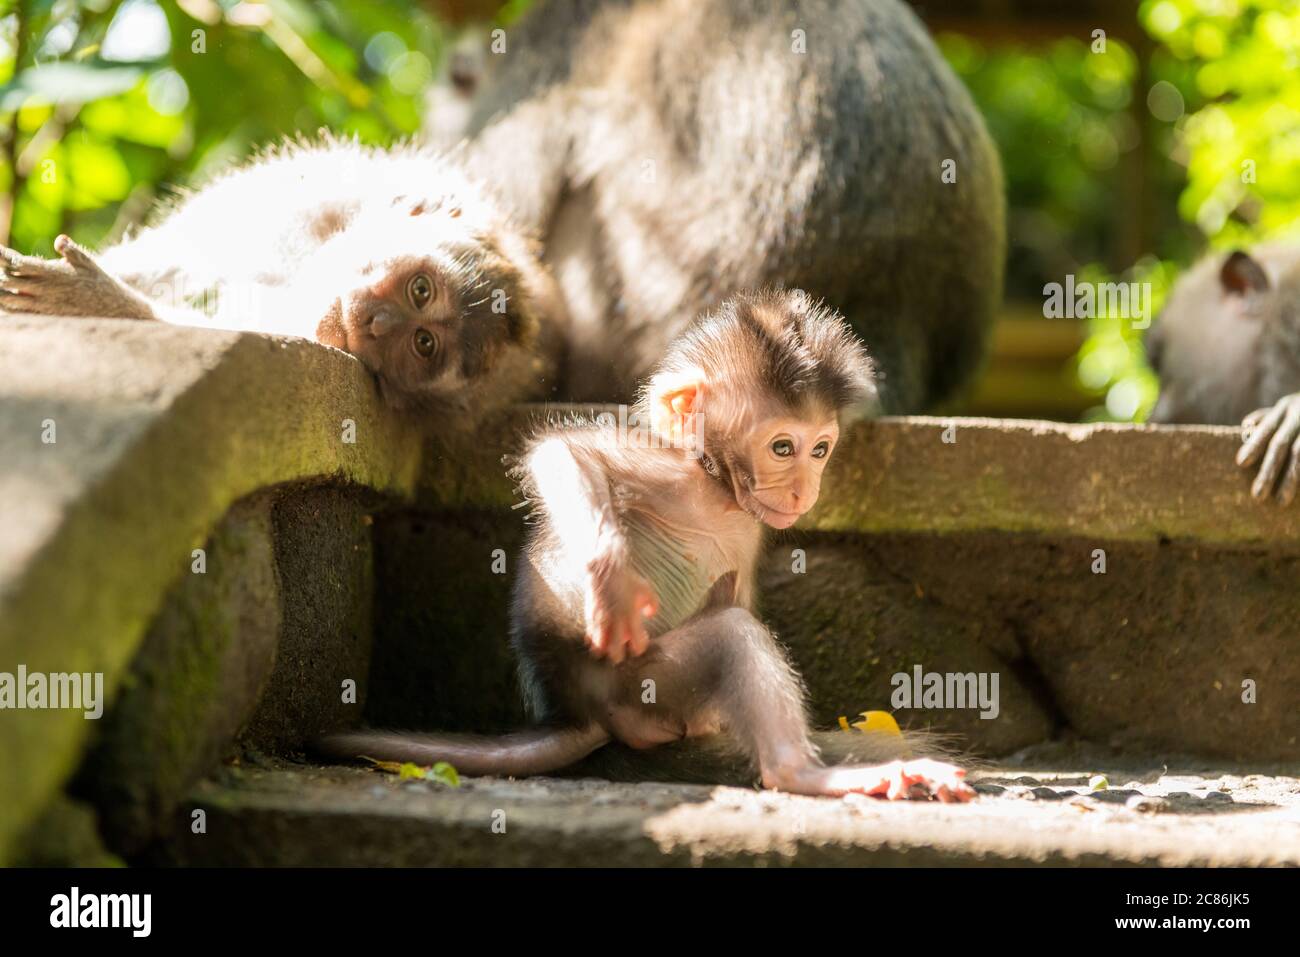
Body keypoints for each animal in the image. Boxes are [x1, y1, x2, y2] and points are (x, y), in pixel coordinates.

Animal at [0, 139, 564, 418]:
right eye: (421, 290)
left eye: (422, 345)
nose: (378, 323)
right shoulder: (324, 196)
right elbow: (192, 240)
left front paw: (97, 300)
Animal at [319, 289, 974, 802]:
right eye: (782, 447)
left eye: (820, 449)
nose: (804, 489)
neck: (719, 489)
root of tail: (575, 713)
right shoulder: (668, 473)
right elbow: (561, 454)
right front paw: (610, 577)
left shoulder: (754, 526)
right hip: (638, 689)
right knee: (729, 636)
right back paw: (807, 773)